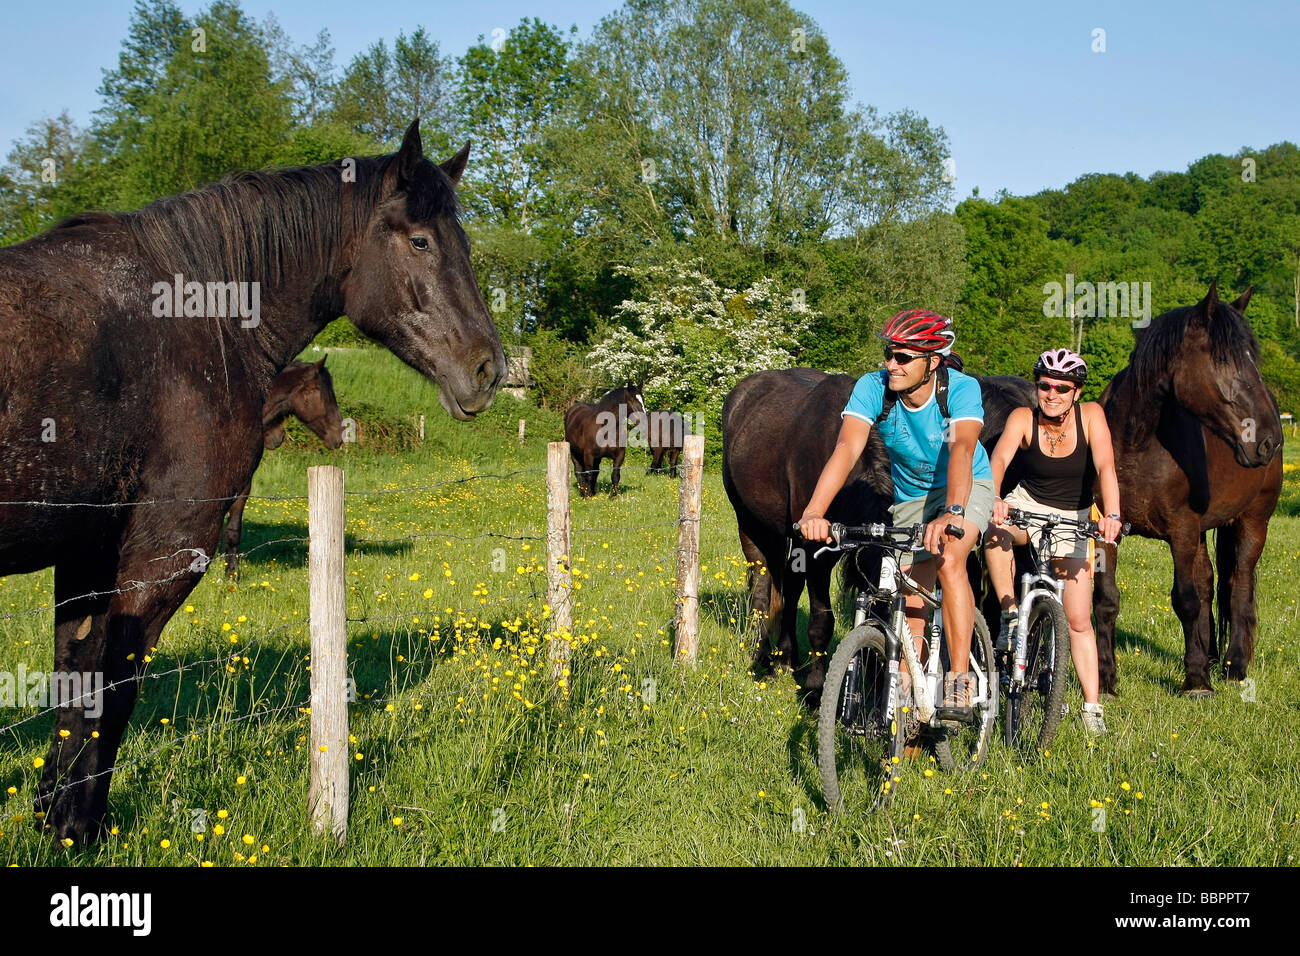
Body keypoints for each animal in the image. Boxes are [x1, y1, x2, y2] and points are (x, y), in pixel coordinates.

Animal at [1092, 284, 1283, 697]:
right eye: (1225, 361)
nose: (1269, 439)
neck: (1136, 443)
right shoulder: (1106, 529)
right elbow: (1106, 600)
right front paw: (1105, 680)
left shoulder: (1181, 529)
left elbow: (1184, 600)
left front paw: (1196, 681)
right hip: (1201, 532)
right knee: (1209, 584)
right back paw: (1209, 655)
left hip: (1253, 521)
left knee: (1238, 585)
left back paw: (1232, 666)